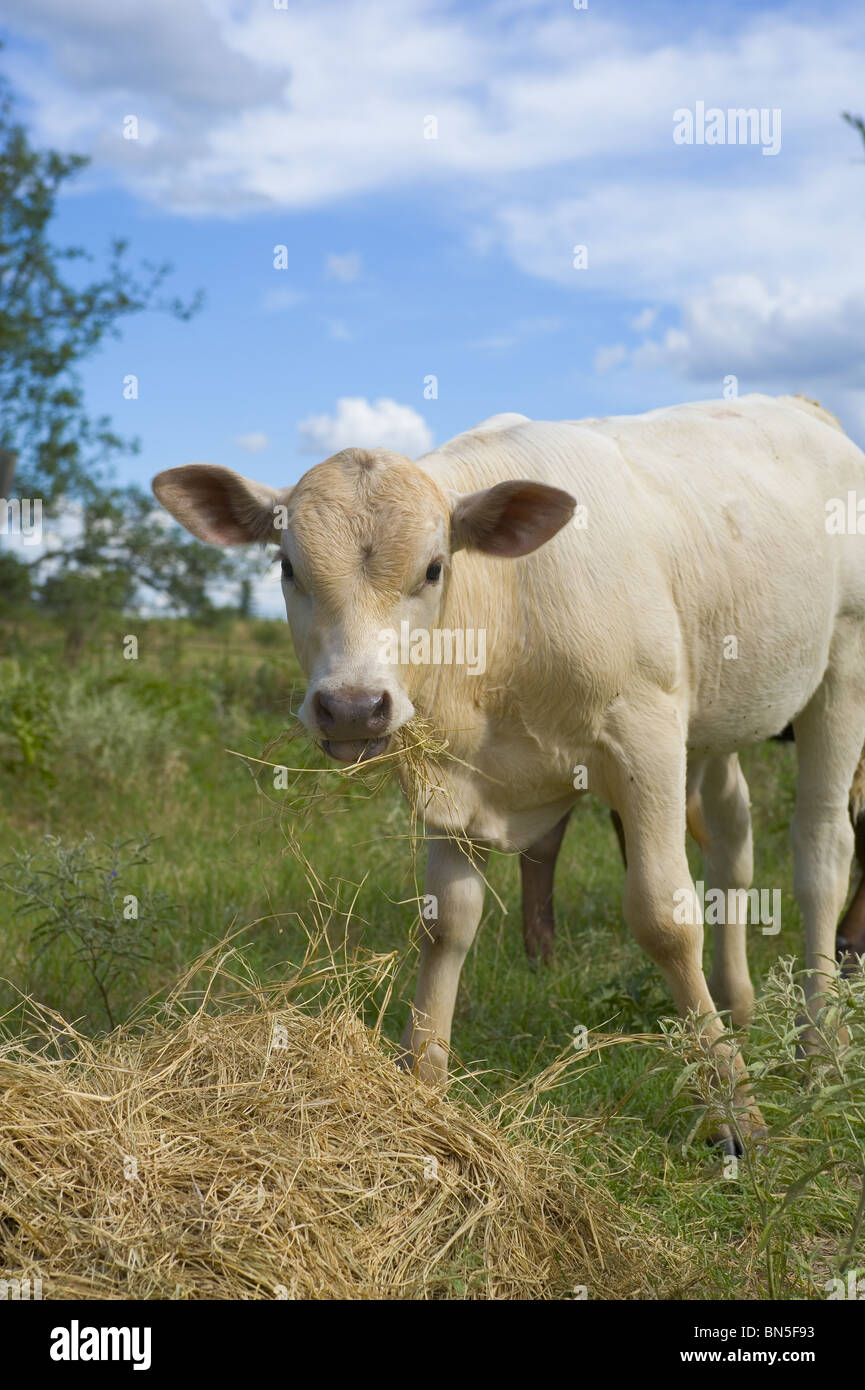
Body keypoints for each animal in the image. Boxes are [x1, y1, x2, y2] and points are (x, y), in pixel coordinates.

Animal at [153, 393, 865, 1149]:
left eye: (434, 568)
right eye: (289, 568)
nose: (351, 707)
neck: (505, 626)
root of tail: (805, 408)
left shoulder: (644, 736)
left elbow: (663, 917)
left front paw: (733, 1108)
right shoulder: (449, 780)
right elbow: (446, 922)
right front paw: (421, 1092)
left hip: (840, 675)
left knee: (821, 852)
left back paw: (819, 1050)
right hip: (713, 723)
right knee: (732, 841)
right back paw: (740, 1009)